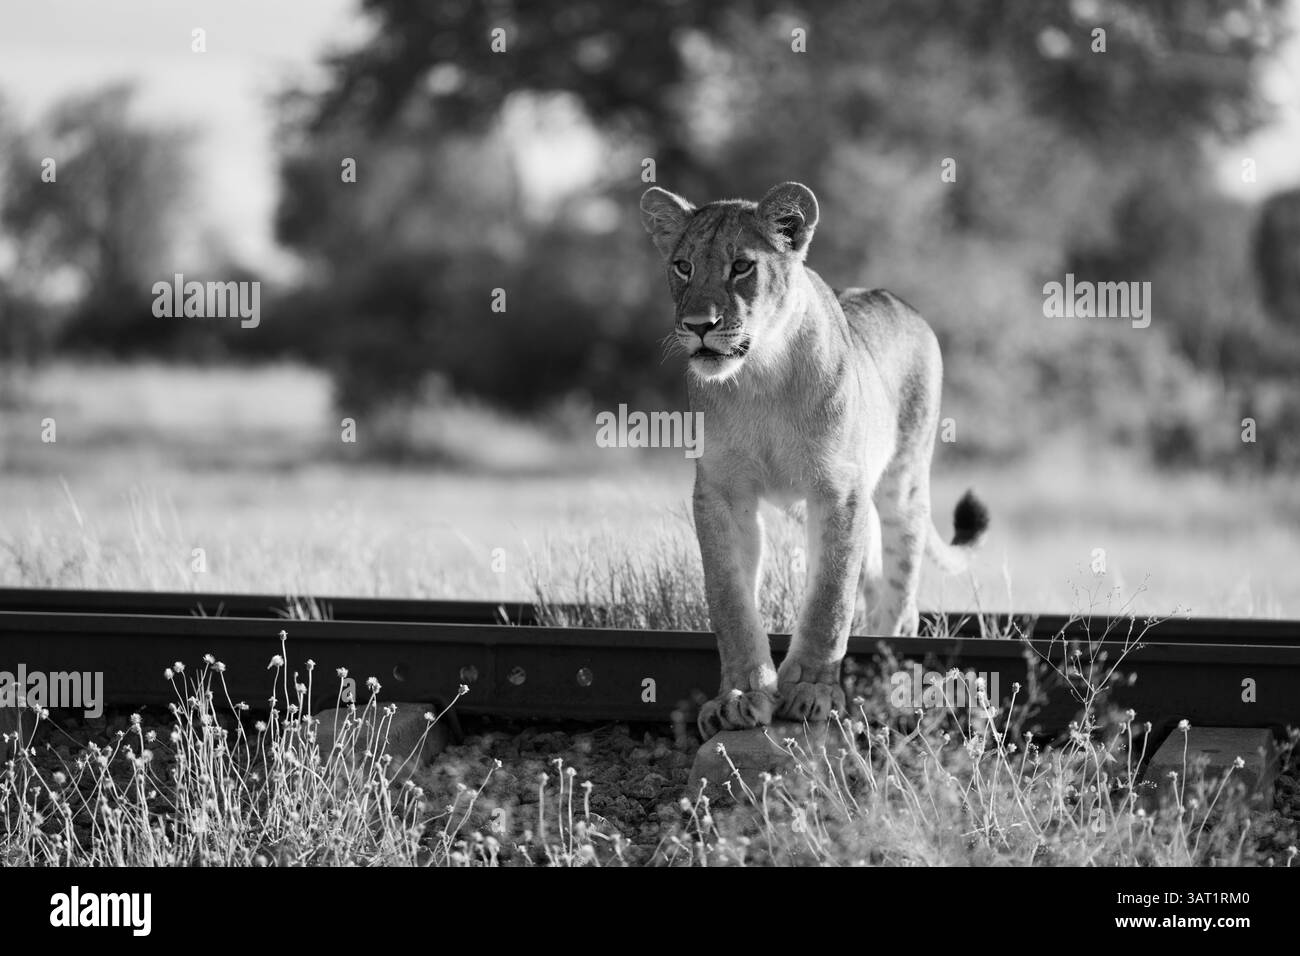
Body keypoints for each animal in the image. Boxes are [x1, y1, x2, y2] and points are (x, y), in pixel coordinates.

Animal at [639, 181, 989, 737]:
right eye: (683, 266)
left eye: (742, 266)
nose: (699, 325)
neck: (760, 376)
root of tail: (898, 300)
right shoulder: (720, 493)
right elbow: (729, 599)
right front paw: (739, 696)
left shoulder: (838, 491)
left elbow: (829, 597)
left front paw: (810, 690)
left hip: (903, 483)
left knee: (898, 591)